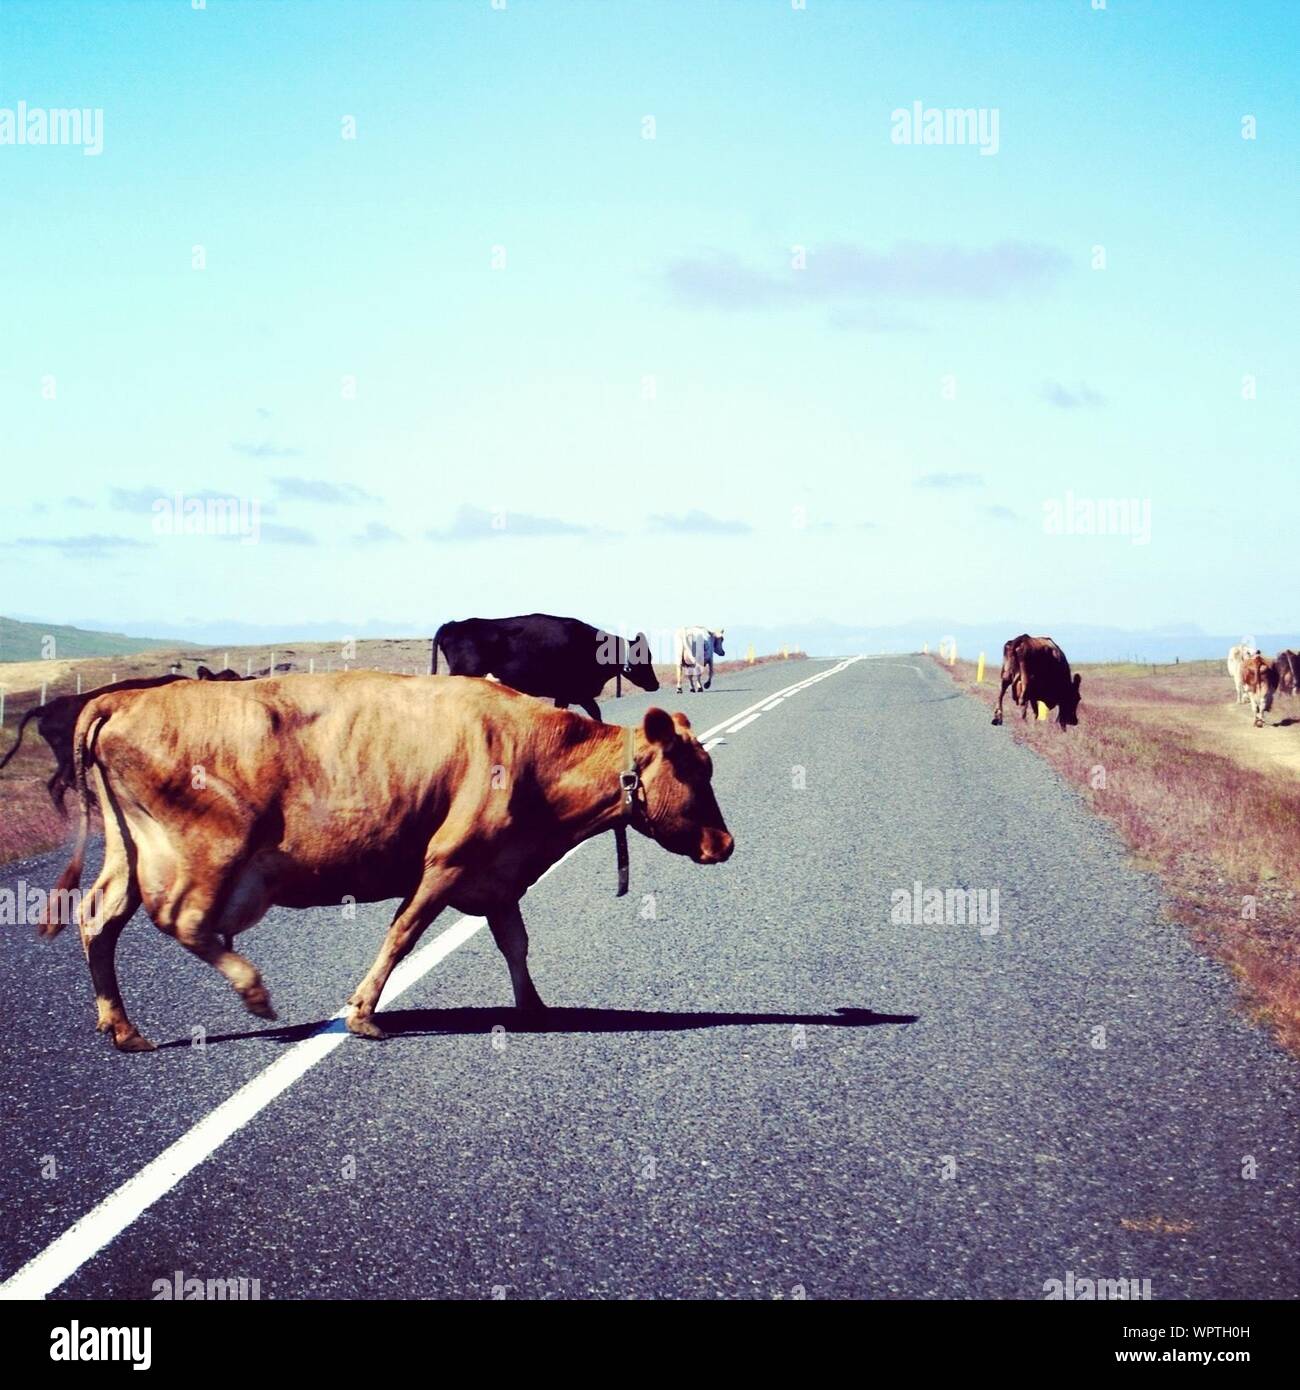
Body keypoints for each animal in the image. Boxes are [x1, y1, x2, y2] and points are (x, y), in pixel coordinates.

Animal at [0, 666, 247, 811]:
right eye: (230, 680)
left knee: (56, 784)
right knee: (62, 783)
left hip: (66, 759)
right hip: (70, 756)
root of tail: (46, 707)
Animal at [45, 671, 733, 1052]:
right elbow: (402, 934)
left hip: (128, 852)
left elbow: (515, 942)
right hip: (204, 853)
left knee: (97, 920)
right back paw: (255, 993)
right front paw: (363, 1015)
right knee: (183, 921)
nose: (726, 844)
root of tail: (127, 701)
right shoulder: (447, 862)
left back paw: (124, 1030)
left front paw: (535, 1009)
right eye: (694, 771)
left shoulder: (496, 875)